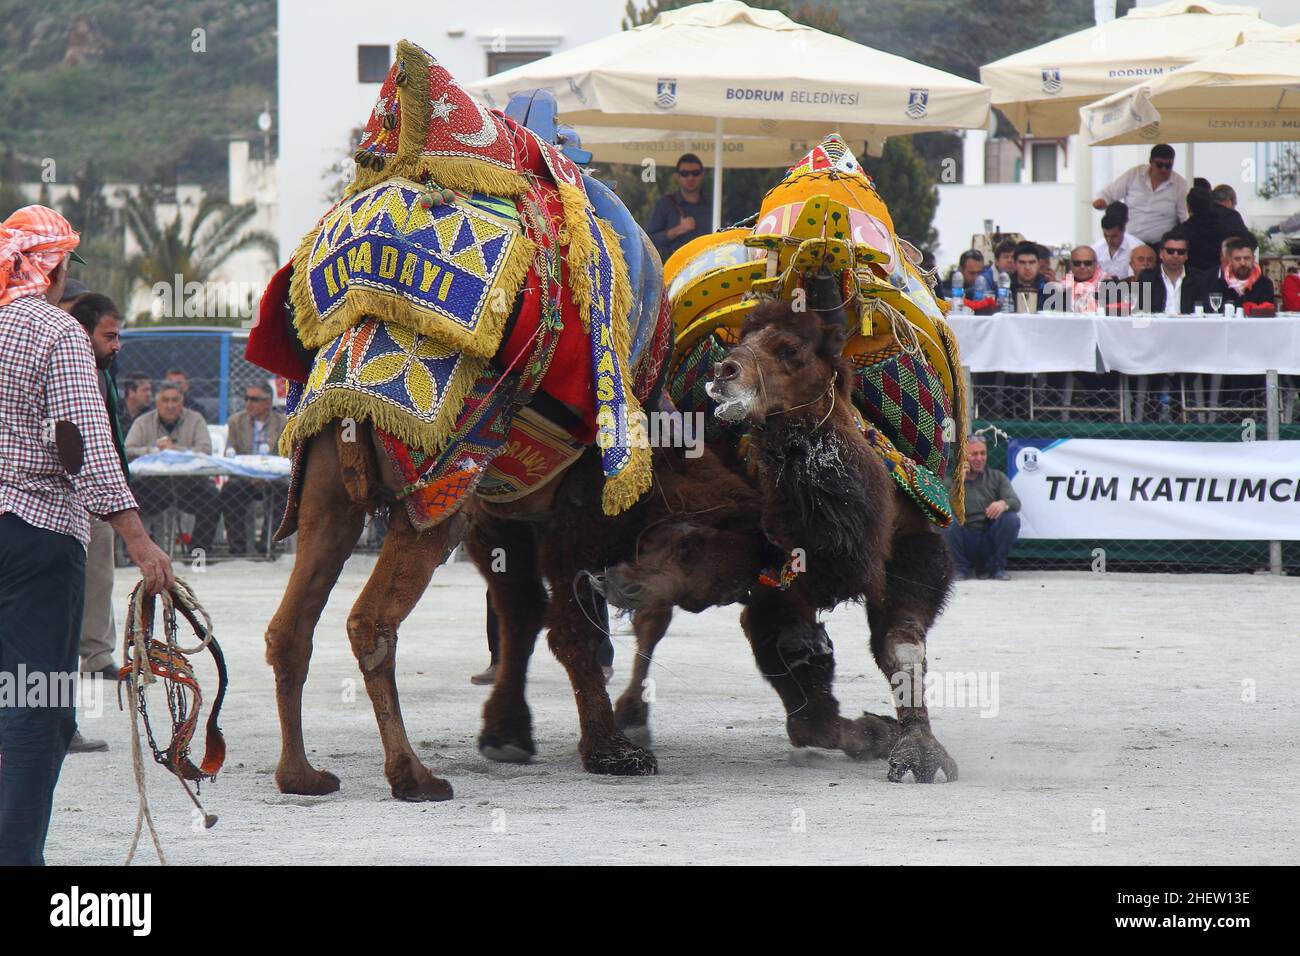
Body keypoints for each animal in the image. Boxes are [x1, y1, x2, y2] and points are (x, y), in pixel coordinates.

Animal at [599, 291, 959, 783]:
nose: (724, 372)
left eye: (790, 350)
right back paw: (631, 715)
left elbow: (900, 644)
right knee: (653, 622)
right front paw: (875, 732)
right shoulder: (776, 574)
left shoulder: (913, 549)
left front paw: (919, 755)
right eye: (742, 342)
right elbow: (799, 674)